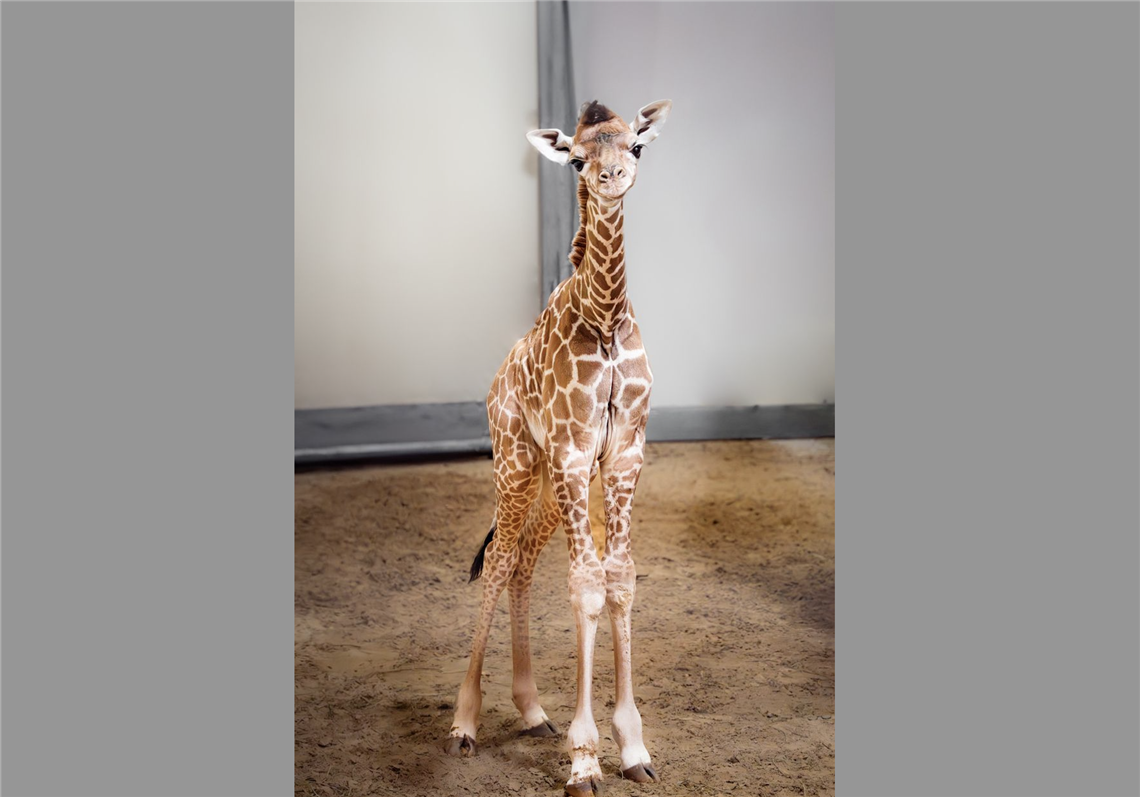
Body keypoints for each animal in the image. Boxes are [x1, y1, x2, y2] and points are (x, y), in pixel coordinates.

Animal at [443, 99, 672, 797]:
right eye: (575, 158)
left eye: (637, 146)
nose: (611, 178)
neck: (606, 318)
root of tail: (497, 379)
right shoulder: (575, 453)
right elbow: (585, 585)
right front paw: (585, 758)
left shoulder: (623, 456)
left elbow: (620, 579)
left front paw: (632, 746)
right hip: (517, 460)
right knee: (496, 562)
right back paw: (464, 724)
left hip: (548, 479)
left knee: (519, 560)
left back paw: (531, 709)